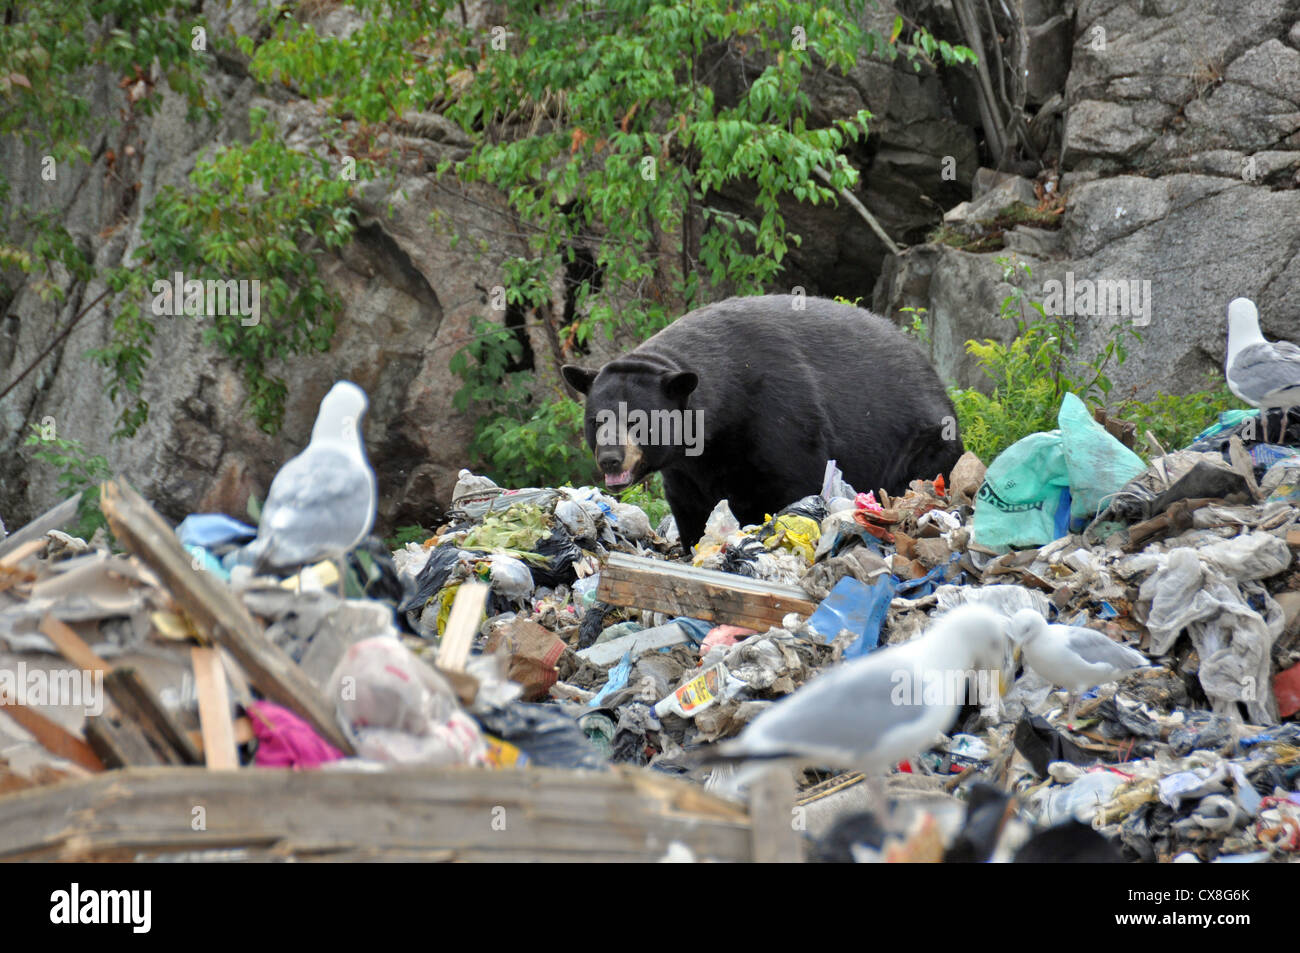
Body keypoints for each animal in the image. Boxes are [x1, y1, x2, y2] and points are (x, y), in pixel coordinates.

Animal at [561, 294, 961, 548]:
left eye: (638, 420)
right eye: (597, 420)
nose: (610, 460)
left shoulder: (777, 416)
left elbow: (793, 484)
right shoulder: (686, 467)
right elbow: (691, 508)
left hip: (919, 440)